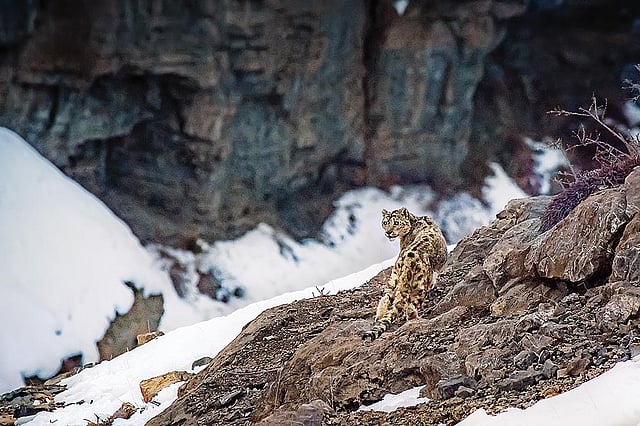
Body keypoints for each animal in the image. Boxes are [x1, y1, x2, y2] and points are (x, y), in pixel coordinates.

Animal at [362, 207, 448, 340]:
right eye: (385, 222)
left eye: (396, 223)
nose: (388, 232)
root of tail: (409, 258)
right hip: (419, 286)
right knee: (410, 307)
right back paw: (415, 319)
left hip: (395, 276)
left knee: (387, 296)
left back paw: (379, 316)